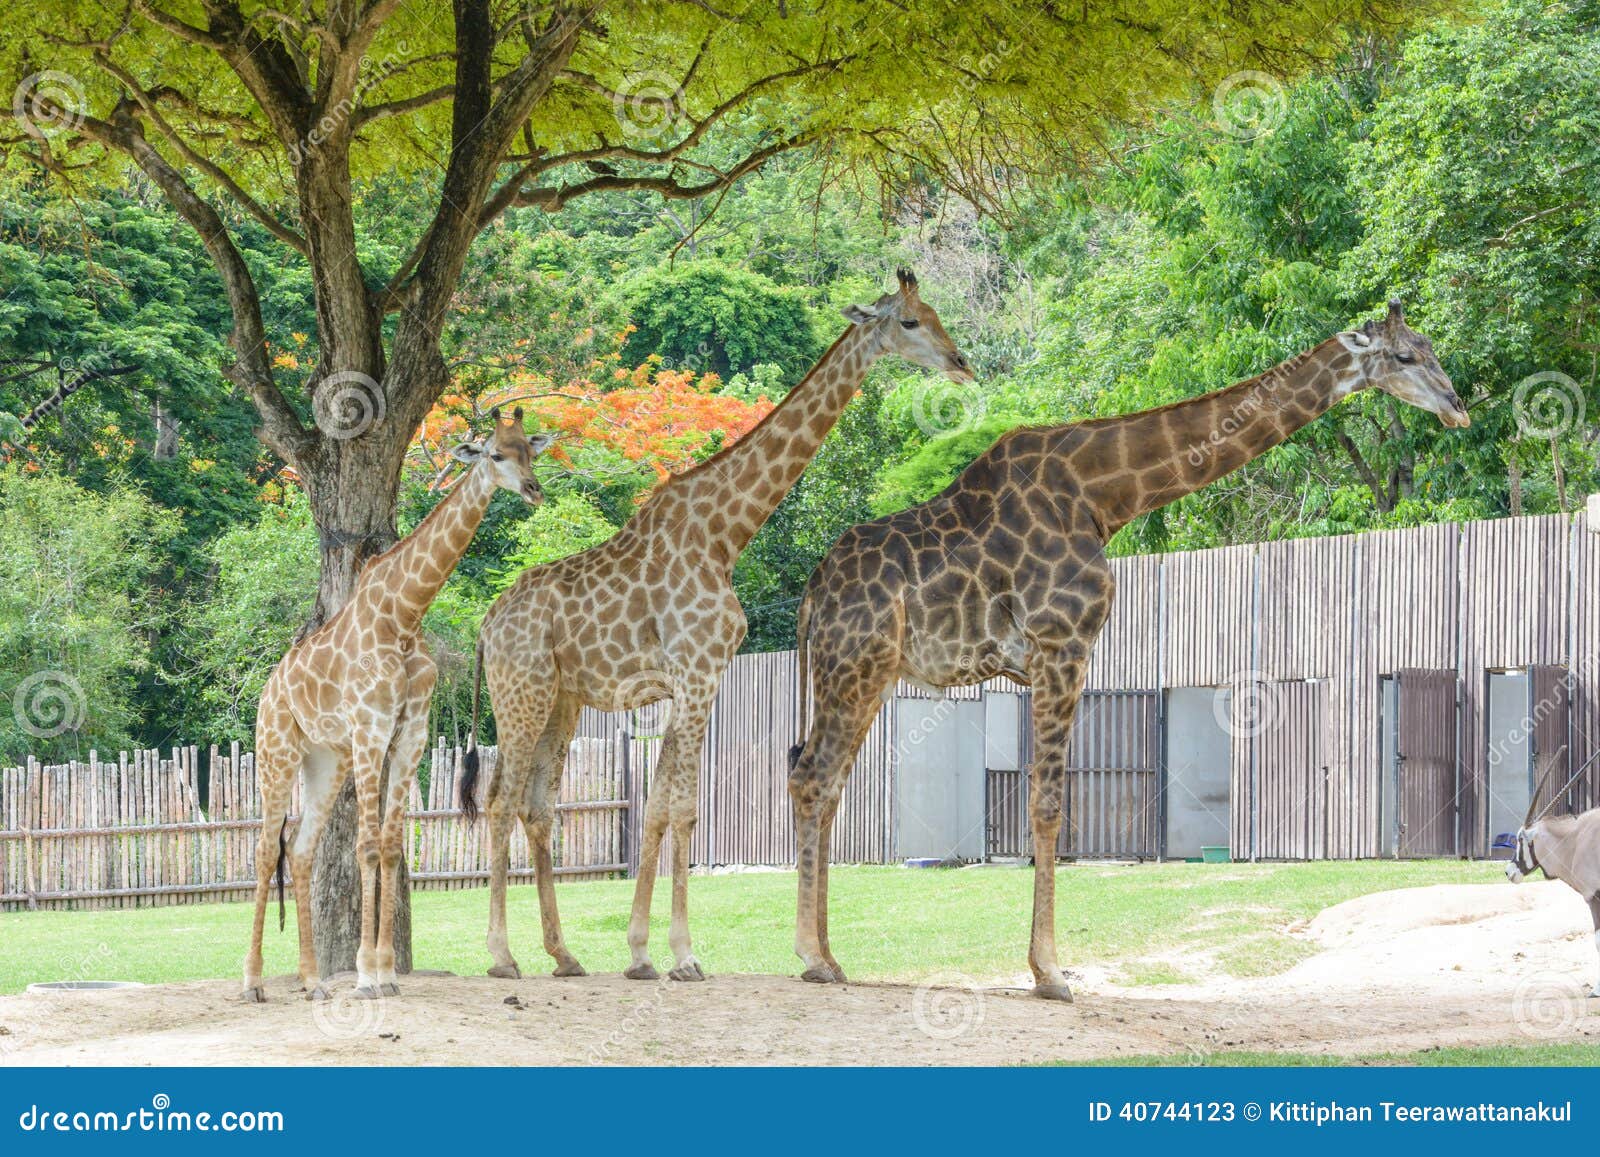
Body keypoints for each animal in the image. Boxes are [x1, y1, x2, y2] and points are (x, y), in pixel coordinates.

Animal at [243, 408, 552, 1003]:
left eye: (531, 450)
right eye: (495, 454)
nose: (533, 490)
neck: (405, 614)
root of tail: (267, 693)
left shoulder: (410, 732)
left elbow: (389, 844)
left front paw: (386, 972)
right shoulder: (371, 727)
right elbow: (366, 845)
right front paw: (365, 974)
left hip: (325, 760)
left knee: (301, 847)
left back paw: (312, 982)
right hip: (277, 750)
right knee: (267, 846)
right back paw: (252, 982)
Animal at [457, 270, 974, 982]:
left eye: (933, 312)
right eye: (910, 322)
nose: (961, 363)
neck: (725, 534)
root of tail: (486, 625)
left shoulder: (694, 679)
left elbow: (658, 808)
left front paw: (641, 953)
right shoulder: (697, 672)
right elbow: (684, 808)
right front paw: (681, 954)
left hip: (562, 699)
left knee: (537, 805)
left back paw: (563, 955)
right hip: (521, 694)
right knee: (501, 799)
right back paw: (503, 956)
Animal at [787, 301, 1469, 1000]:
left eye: (1430, 347)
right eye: (1406, 356)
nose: (1456, 406)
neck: (1103, 496)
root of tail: (813, 593)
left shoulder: (1054, 654)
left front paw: (1045, 966)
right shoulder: (1061, 643)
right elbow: (1049, 803)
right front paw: (1050, 972)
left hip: (863, 673)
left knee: (823, 779)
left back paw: (830, 958)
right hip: (856, 665)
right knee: (813, 775)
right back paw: (814, 956)